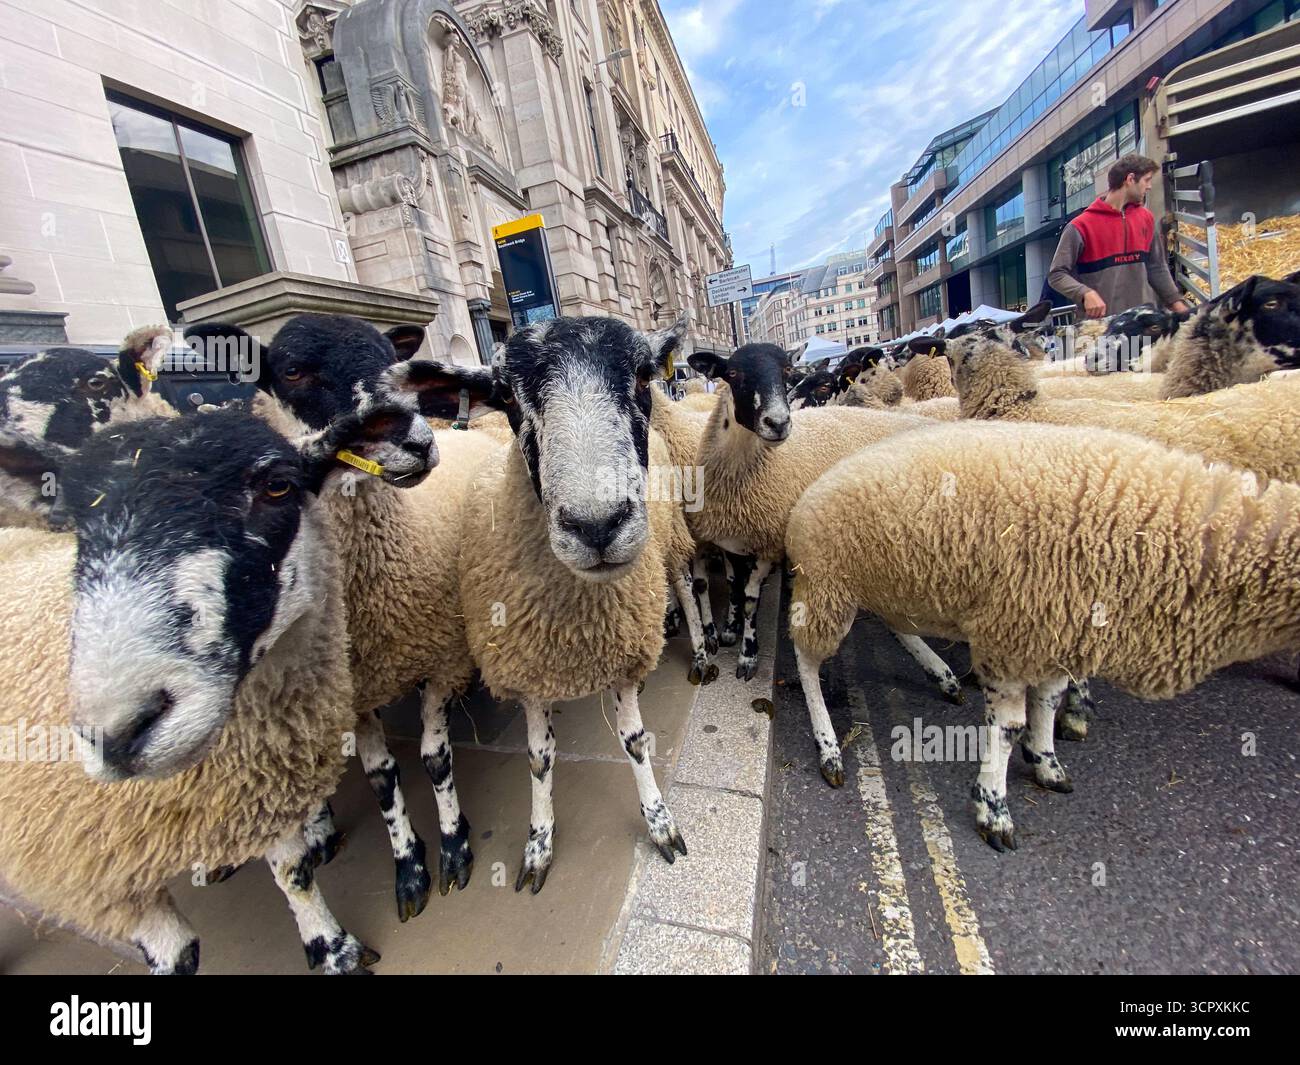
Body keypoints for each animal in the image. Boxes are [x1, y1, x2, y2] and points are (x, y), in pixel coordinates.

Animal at [0, 402, 433, 972]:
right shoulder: (105, 876)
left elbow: (295, 869)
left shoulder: (257, 777)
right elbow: (177, 953)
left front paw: (333, 945)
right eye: (76, 523)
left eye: (277, 486)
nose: (116, 732)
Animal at [386, 316, 695, 892]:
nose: (597, 526)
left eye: (645, 375)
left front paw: (659, 822)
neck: (580, 622)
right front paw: (539, 842)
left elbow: (636, 741)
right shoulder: (526, 668)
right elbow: (538, 758)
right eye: (506, 394)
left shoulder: (623, 651)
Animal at [682, 342, 963, 704]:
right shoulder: (731, 540)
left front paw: (748, 655)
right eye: (732, 373)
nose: (778, 422)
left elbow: (750, 599)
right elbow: (734, 586)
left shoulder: (769, 546)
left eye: (787, 371)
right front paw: (730, 630)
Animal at [788, 418, 1300, 849]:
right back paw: (829, 747)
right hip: (829, 586)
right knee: (807, 658)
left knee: (897, 626)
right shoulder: (1012, 634)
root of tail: (807, 497)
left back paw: (941, 675)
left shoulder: (1057, 630)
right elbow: (1008, 727)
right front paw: (993, 807)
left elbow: (1049, 702)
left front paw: (1046, 760)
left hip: (893, 582)